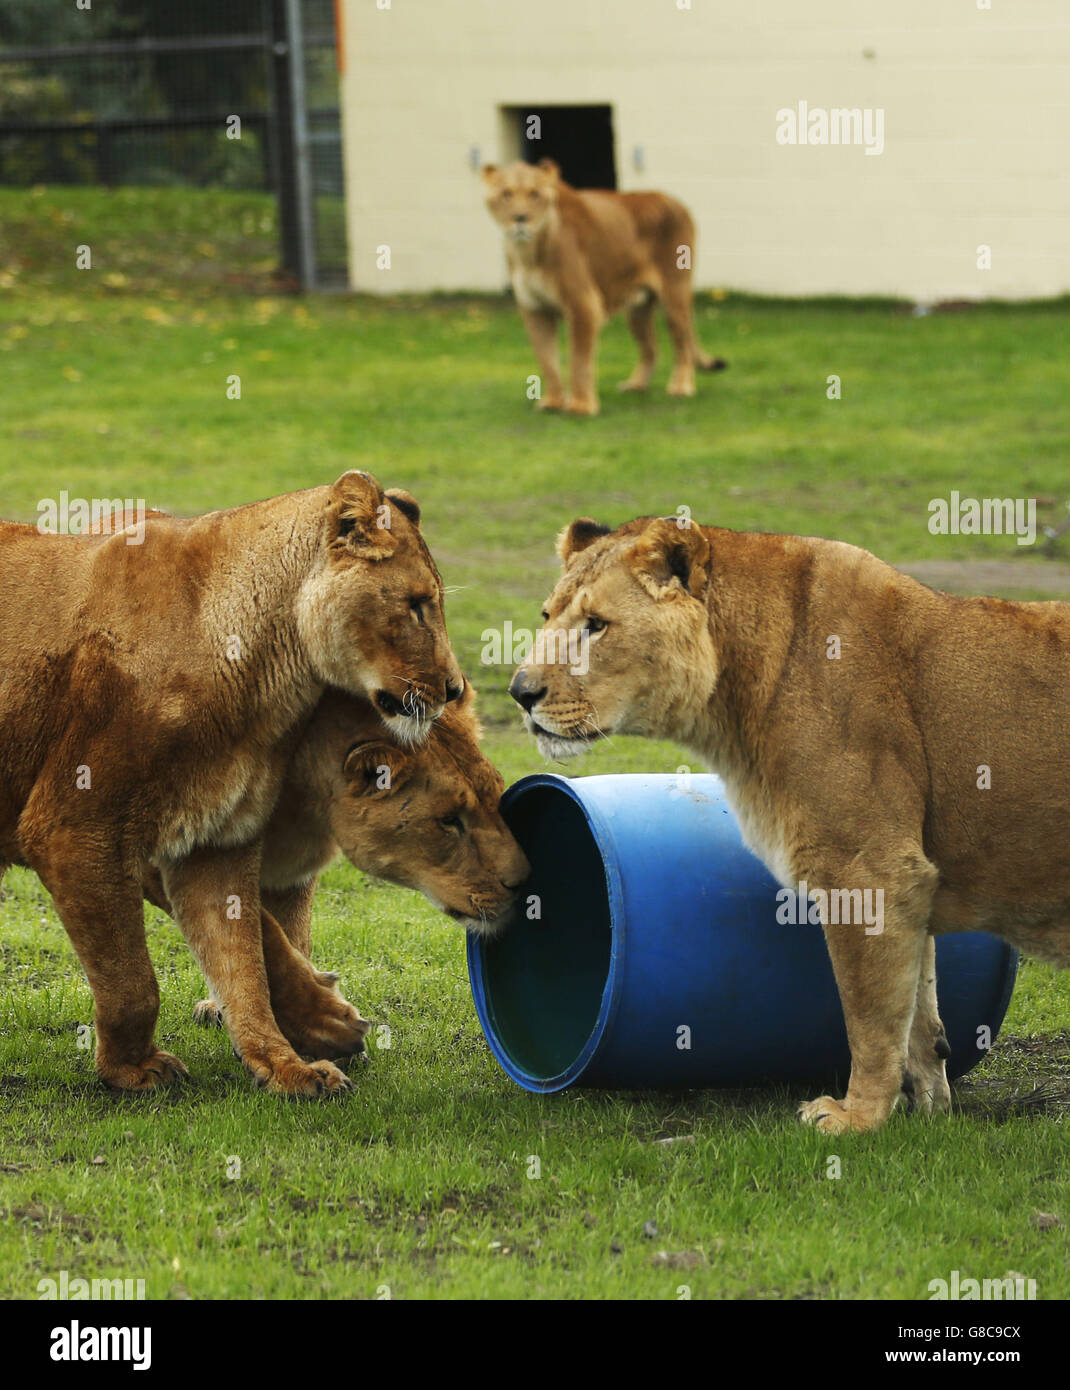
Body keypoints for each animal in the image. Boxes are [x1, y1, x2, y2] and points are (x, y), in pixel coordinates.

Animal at [0, 474, 464, 1096]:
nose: (455, 688)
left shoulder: (214, 839)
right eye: (415, 605)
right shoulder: (74, 829)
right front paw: (132, 1069)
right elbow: (132, 982)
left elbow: (245, 961)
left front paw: (286, 1065)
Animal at [482, 158, 726, 416]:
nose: (520, 218)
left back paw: (681, 387)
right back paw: (636, 385)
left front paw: (581, 406)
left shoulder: (583, 304)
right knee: (651, 347)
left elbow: (579, 360)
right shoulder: (535, 310)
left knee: (683, 344)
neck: (528, 252)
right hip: (637, 308)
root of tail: (673, 200)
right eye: (506, 194)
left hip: (674, 293)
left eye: (534, 194)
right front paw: (552, 402)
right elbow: (547, 360)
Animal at [508, 513, 1070, 1133]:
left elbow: (870, 1017)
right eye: (547, 616)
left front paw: (856, 1118)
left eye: (597, 626)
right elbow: (919, 1015)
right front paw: (929, 1109)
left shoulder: (868, 870)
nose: (519, 691)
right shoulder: (912, 877)